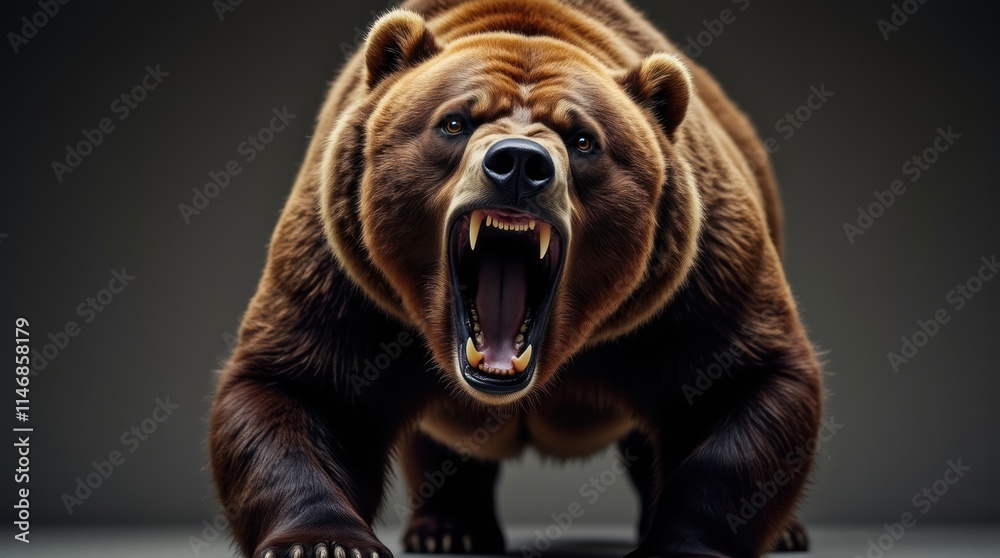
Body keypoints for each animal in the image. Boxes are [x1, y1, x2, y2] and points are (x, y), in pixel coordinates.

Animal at [209, 0, 824, 557]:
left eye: (583, 139)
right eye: (455, 121)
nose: (520, 164)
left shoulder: (687, 289)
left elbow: (744, 386)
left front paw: (681, 544)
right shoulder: (348, 279)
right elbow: (300, 389)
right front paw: (324, 542)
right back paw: (447, 529)